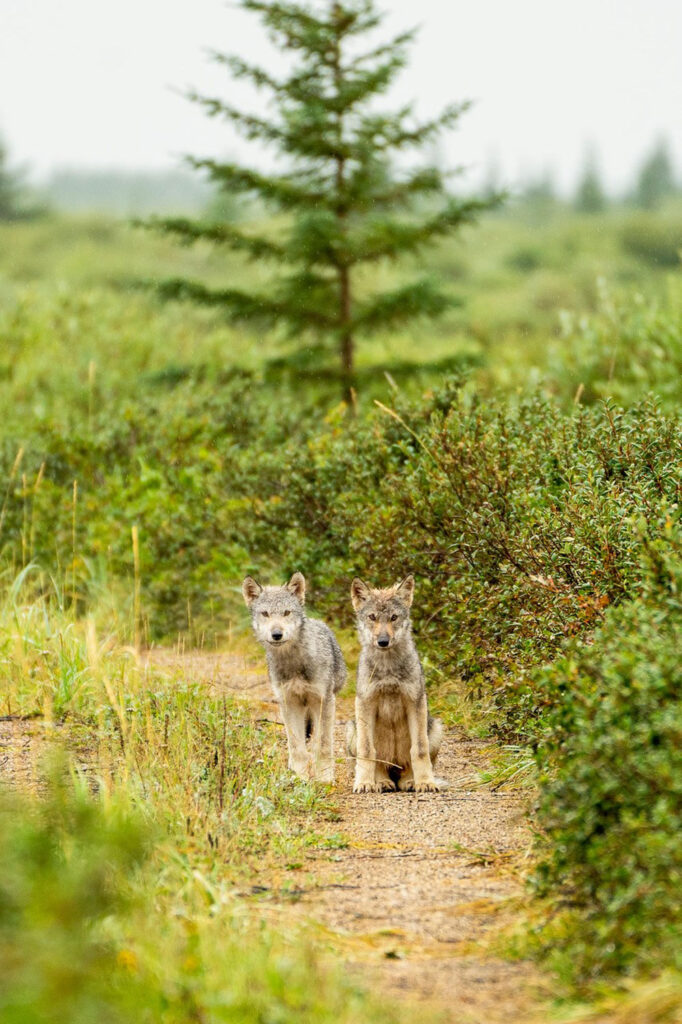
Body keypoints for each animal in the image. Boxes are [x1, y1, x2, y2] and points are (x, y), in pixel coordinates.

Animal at [242, 572, 346, 782]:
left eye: (286, 613)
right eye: (265, 614)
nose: (276, 634)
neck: (294, 662)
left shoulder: (322, 700)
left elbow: (322, 744)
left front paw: (324, 776)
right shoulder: (289, 701)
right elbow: (296, 745)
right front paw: (300, 775)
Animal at [346, 575, 443, 793]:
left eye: (393, 617)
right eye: (372, 617)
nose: (383, 641)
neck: (387, 667)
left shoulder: (415, 702)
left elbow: (419, 750)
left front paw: (426, 782)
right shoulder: (365, 703)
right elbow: (368, 750)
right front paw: (364, 783)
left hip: (435, 728)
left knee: (407, 764)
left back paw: (409, 781)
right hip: (352, 730)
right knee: (380, 762)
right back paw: (381, 782)